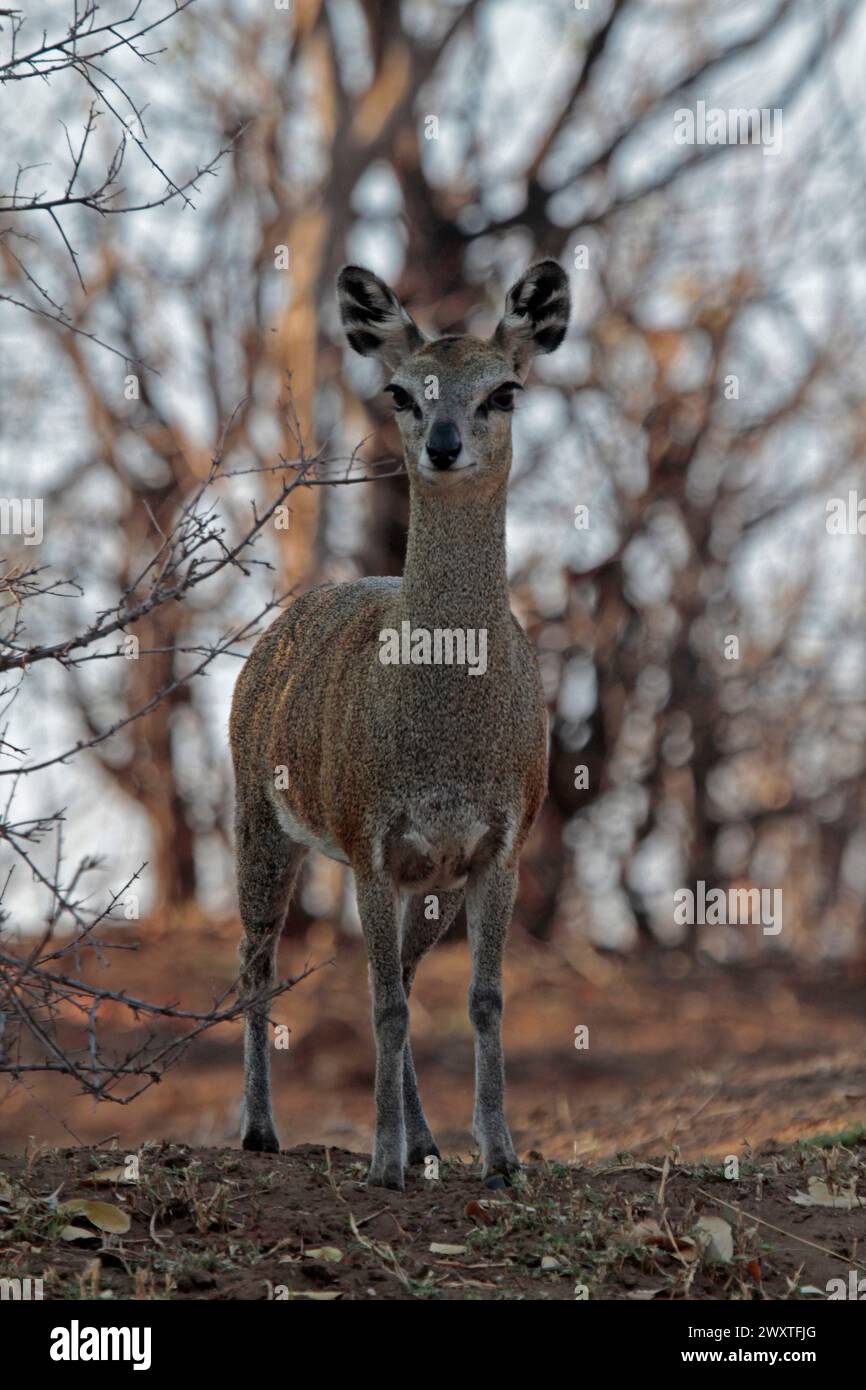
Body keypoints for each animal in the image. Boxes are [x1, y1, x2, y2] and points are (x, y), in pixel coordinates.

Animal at [230, 260, 571, 1189]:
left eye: (505, 390)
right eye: (399, 392)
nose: (443, 444)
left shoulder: (498, 845)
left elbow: (482, 1000)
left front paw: (501, 1156)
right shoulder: (367, 839)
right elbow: (379, 1003)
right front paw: (378, 1162)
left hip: (430, 883)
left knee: (410, 981)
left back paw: (426, 1144)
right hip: (255, 815)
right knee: (258, 965)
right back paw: (261, 1130)